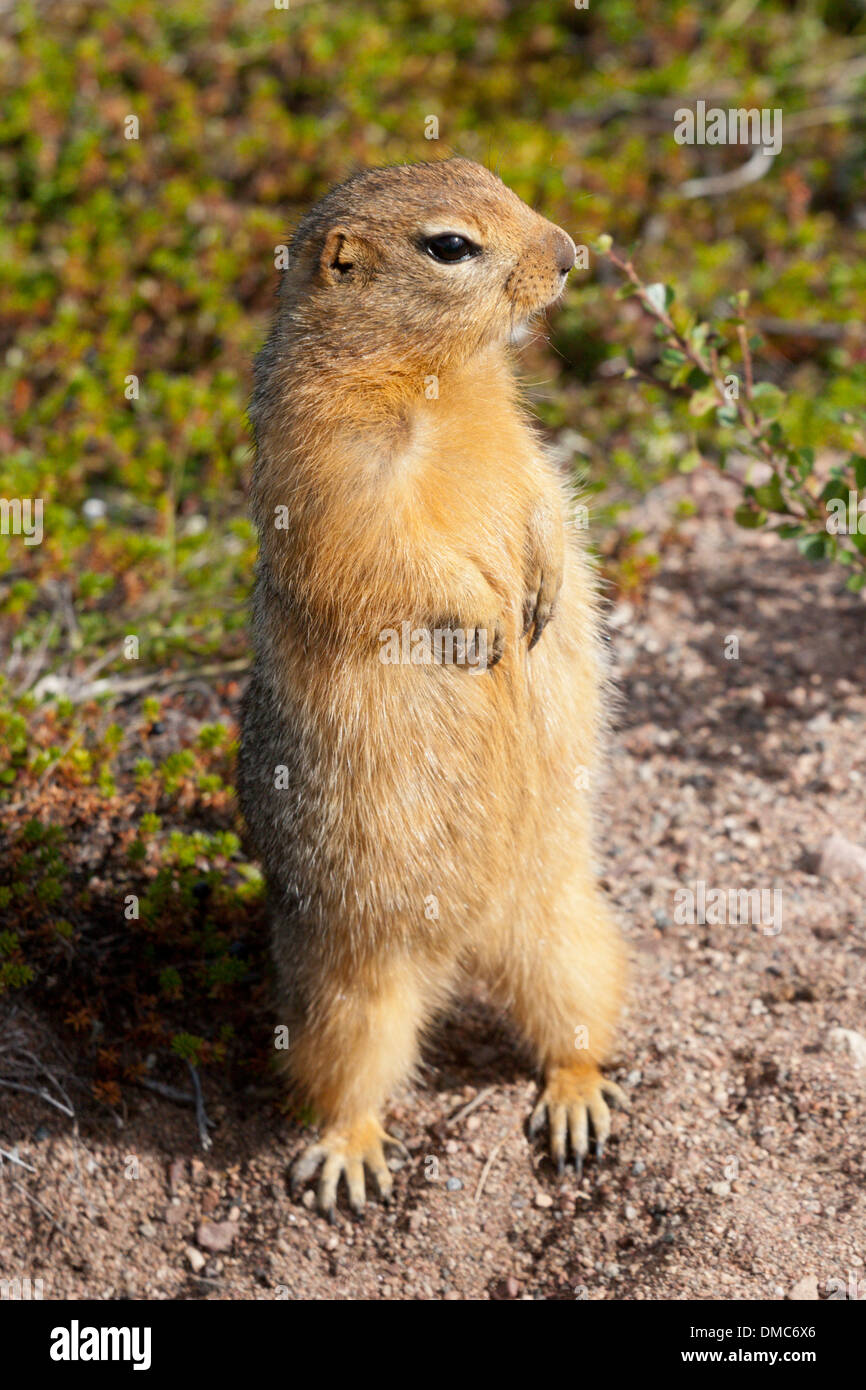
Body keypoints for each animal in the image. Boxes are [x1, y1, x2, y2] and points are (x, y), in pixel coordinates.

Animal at [238, 158, 628, 1218]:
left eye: (499, 176)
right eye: (449, 245)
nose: (571, 253)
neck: (442, 381)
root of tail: (464, 947)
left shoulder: (527, 445)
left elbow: (546, 500)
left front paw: (541, 595)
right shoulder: (332, 471)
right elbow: (388, 558)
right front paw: (489, 625)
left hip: (568, 926)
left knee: (577, 1022)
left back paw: (577, 1103)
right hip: (345, 989)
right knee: (350, 1079)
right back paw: (347, 1157)